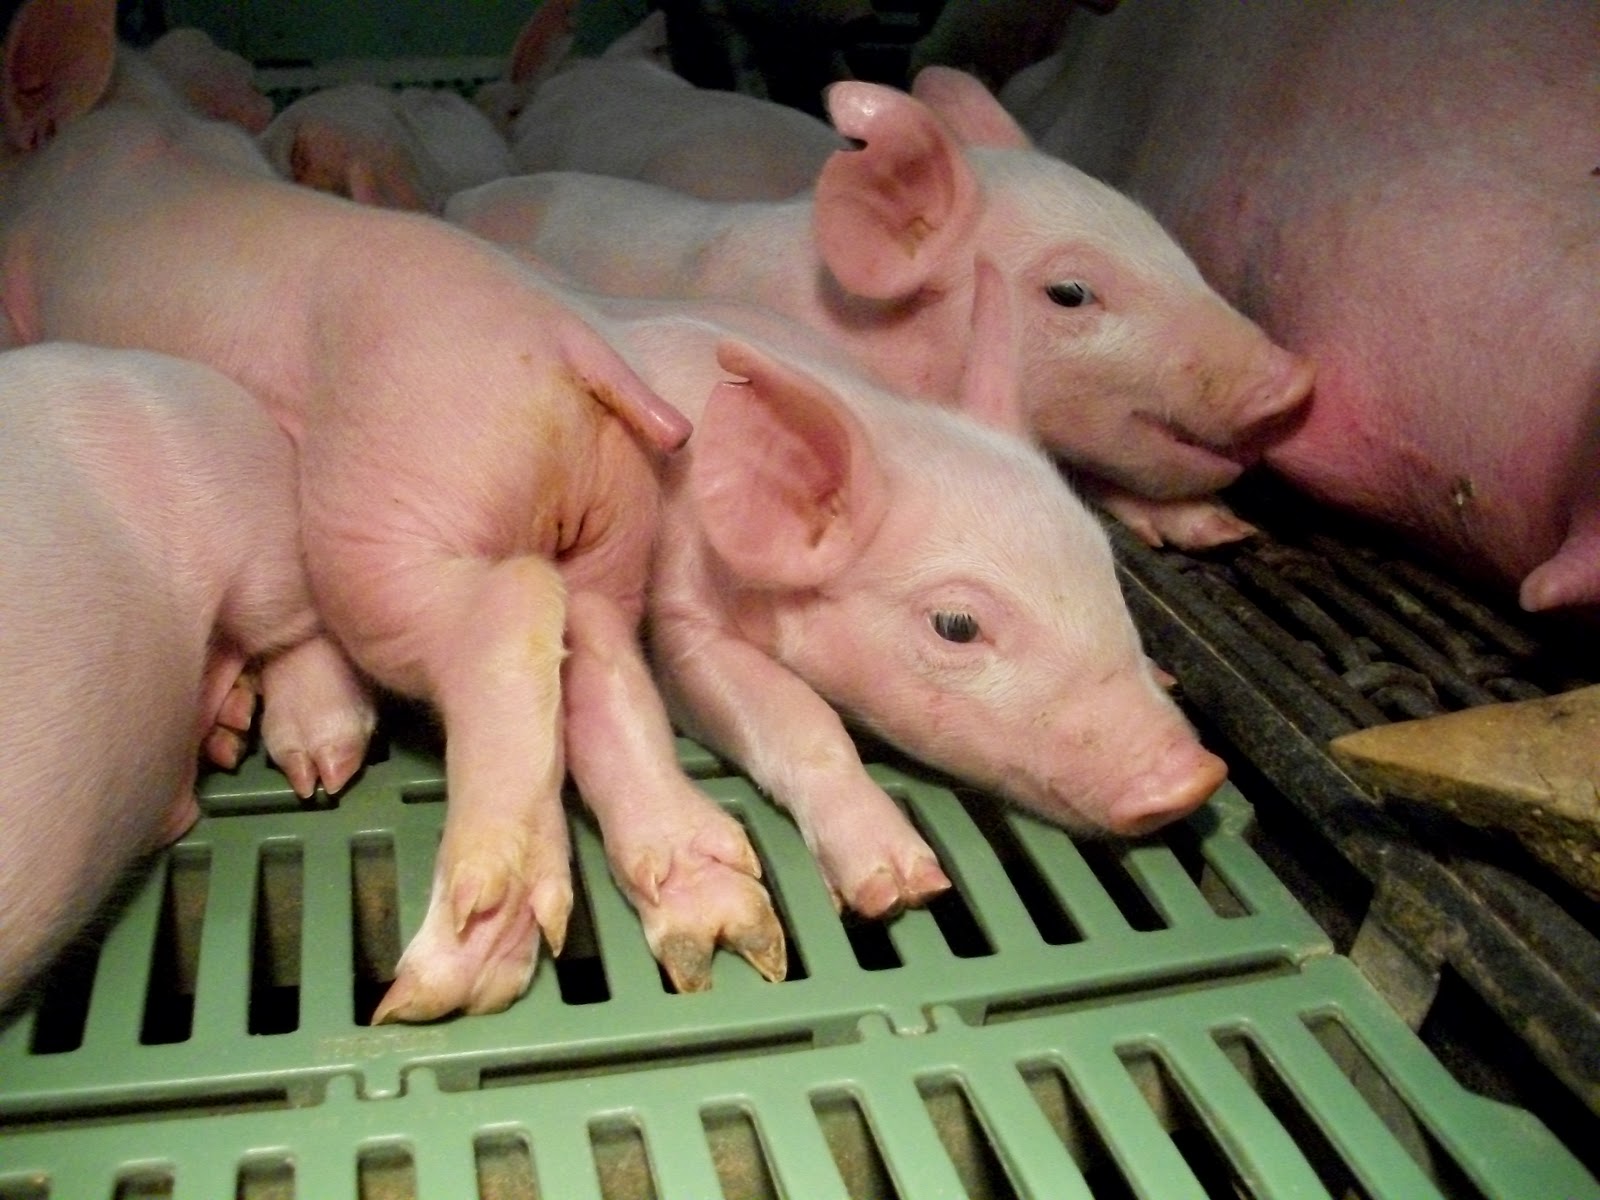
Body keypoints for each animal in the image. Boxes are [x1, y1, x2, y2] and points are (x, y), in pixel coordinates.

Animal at [562, 292, 1228, 989]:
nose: (1199, 777)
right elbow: (795, 715)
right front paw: (905, 887)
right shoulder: (682, 621)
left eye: (1106, 570)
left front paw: (1165, 675)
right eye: (956, 626)